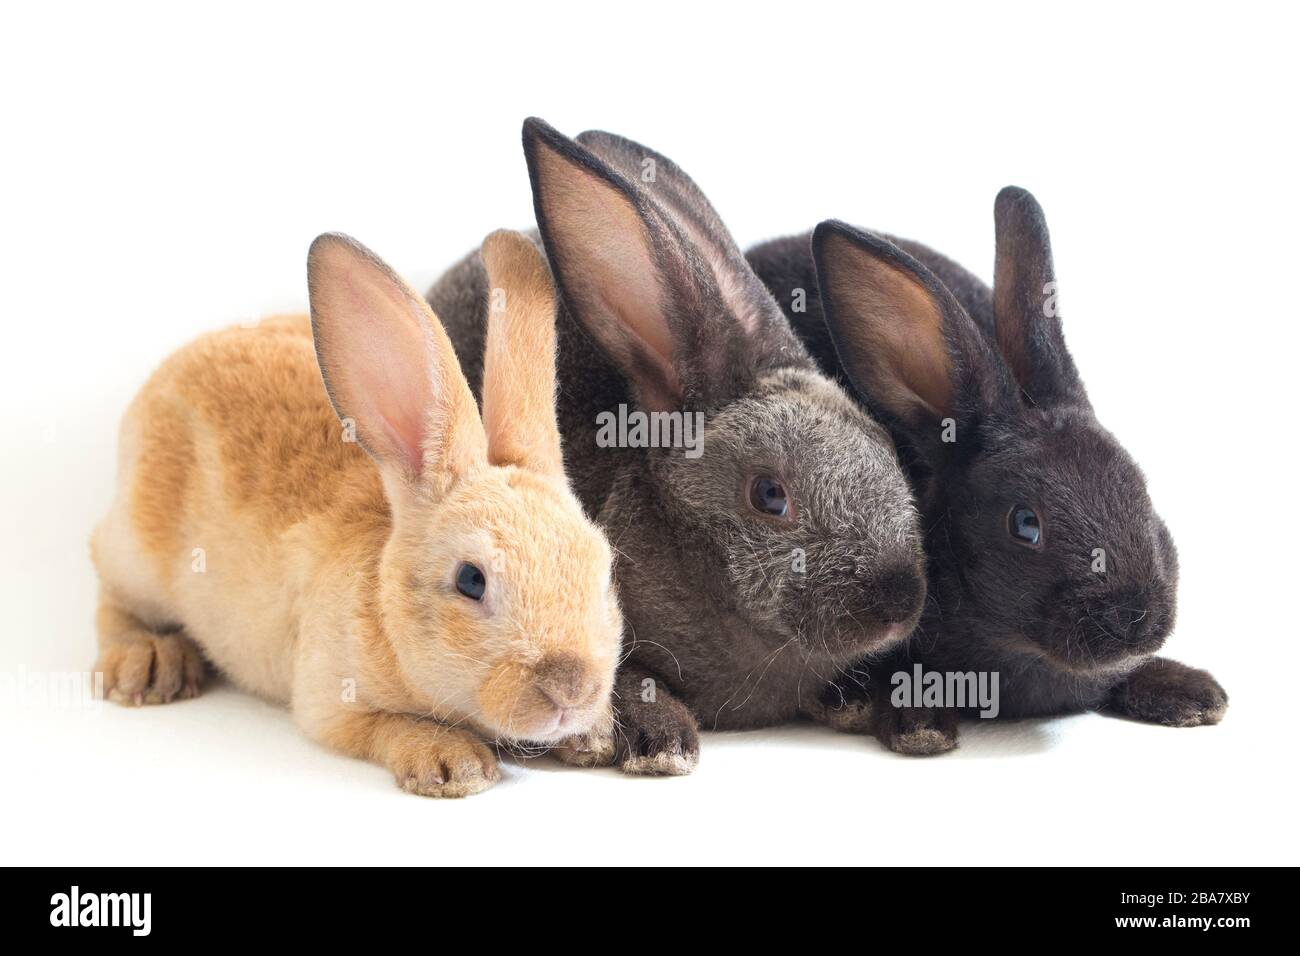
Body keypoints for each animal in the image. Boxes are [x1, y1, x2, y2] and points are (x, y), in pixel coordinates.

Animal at [88, 229, 624, 797]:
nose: (571, 688)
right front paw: (452, 764)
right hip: (137, 555)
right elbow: (381, 726)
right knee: (111, 588)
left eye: (603, 573)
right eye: (471, 580)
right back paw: (146, 663)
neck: (385, 606)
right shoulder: (329, 701)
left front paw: (595, 737)